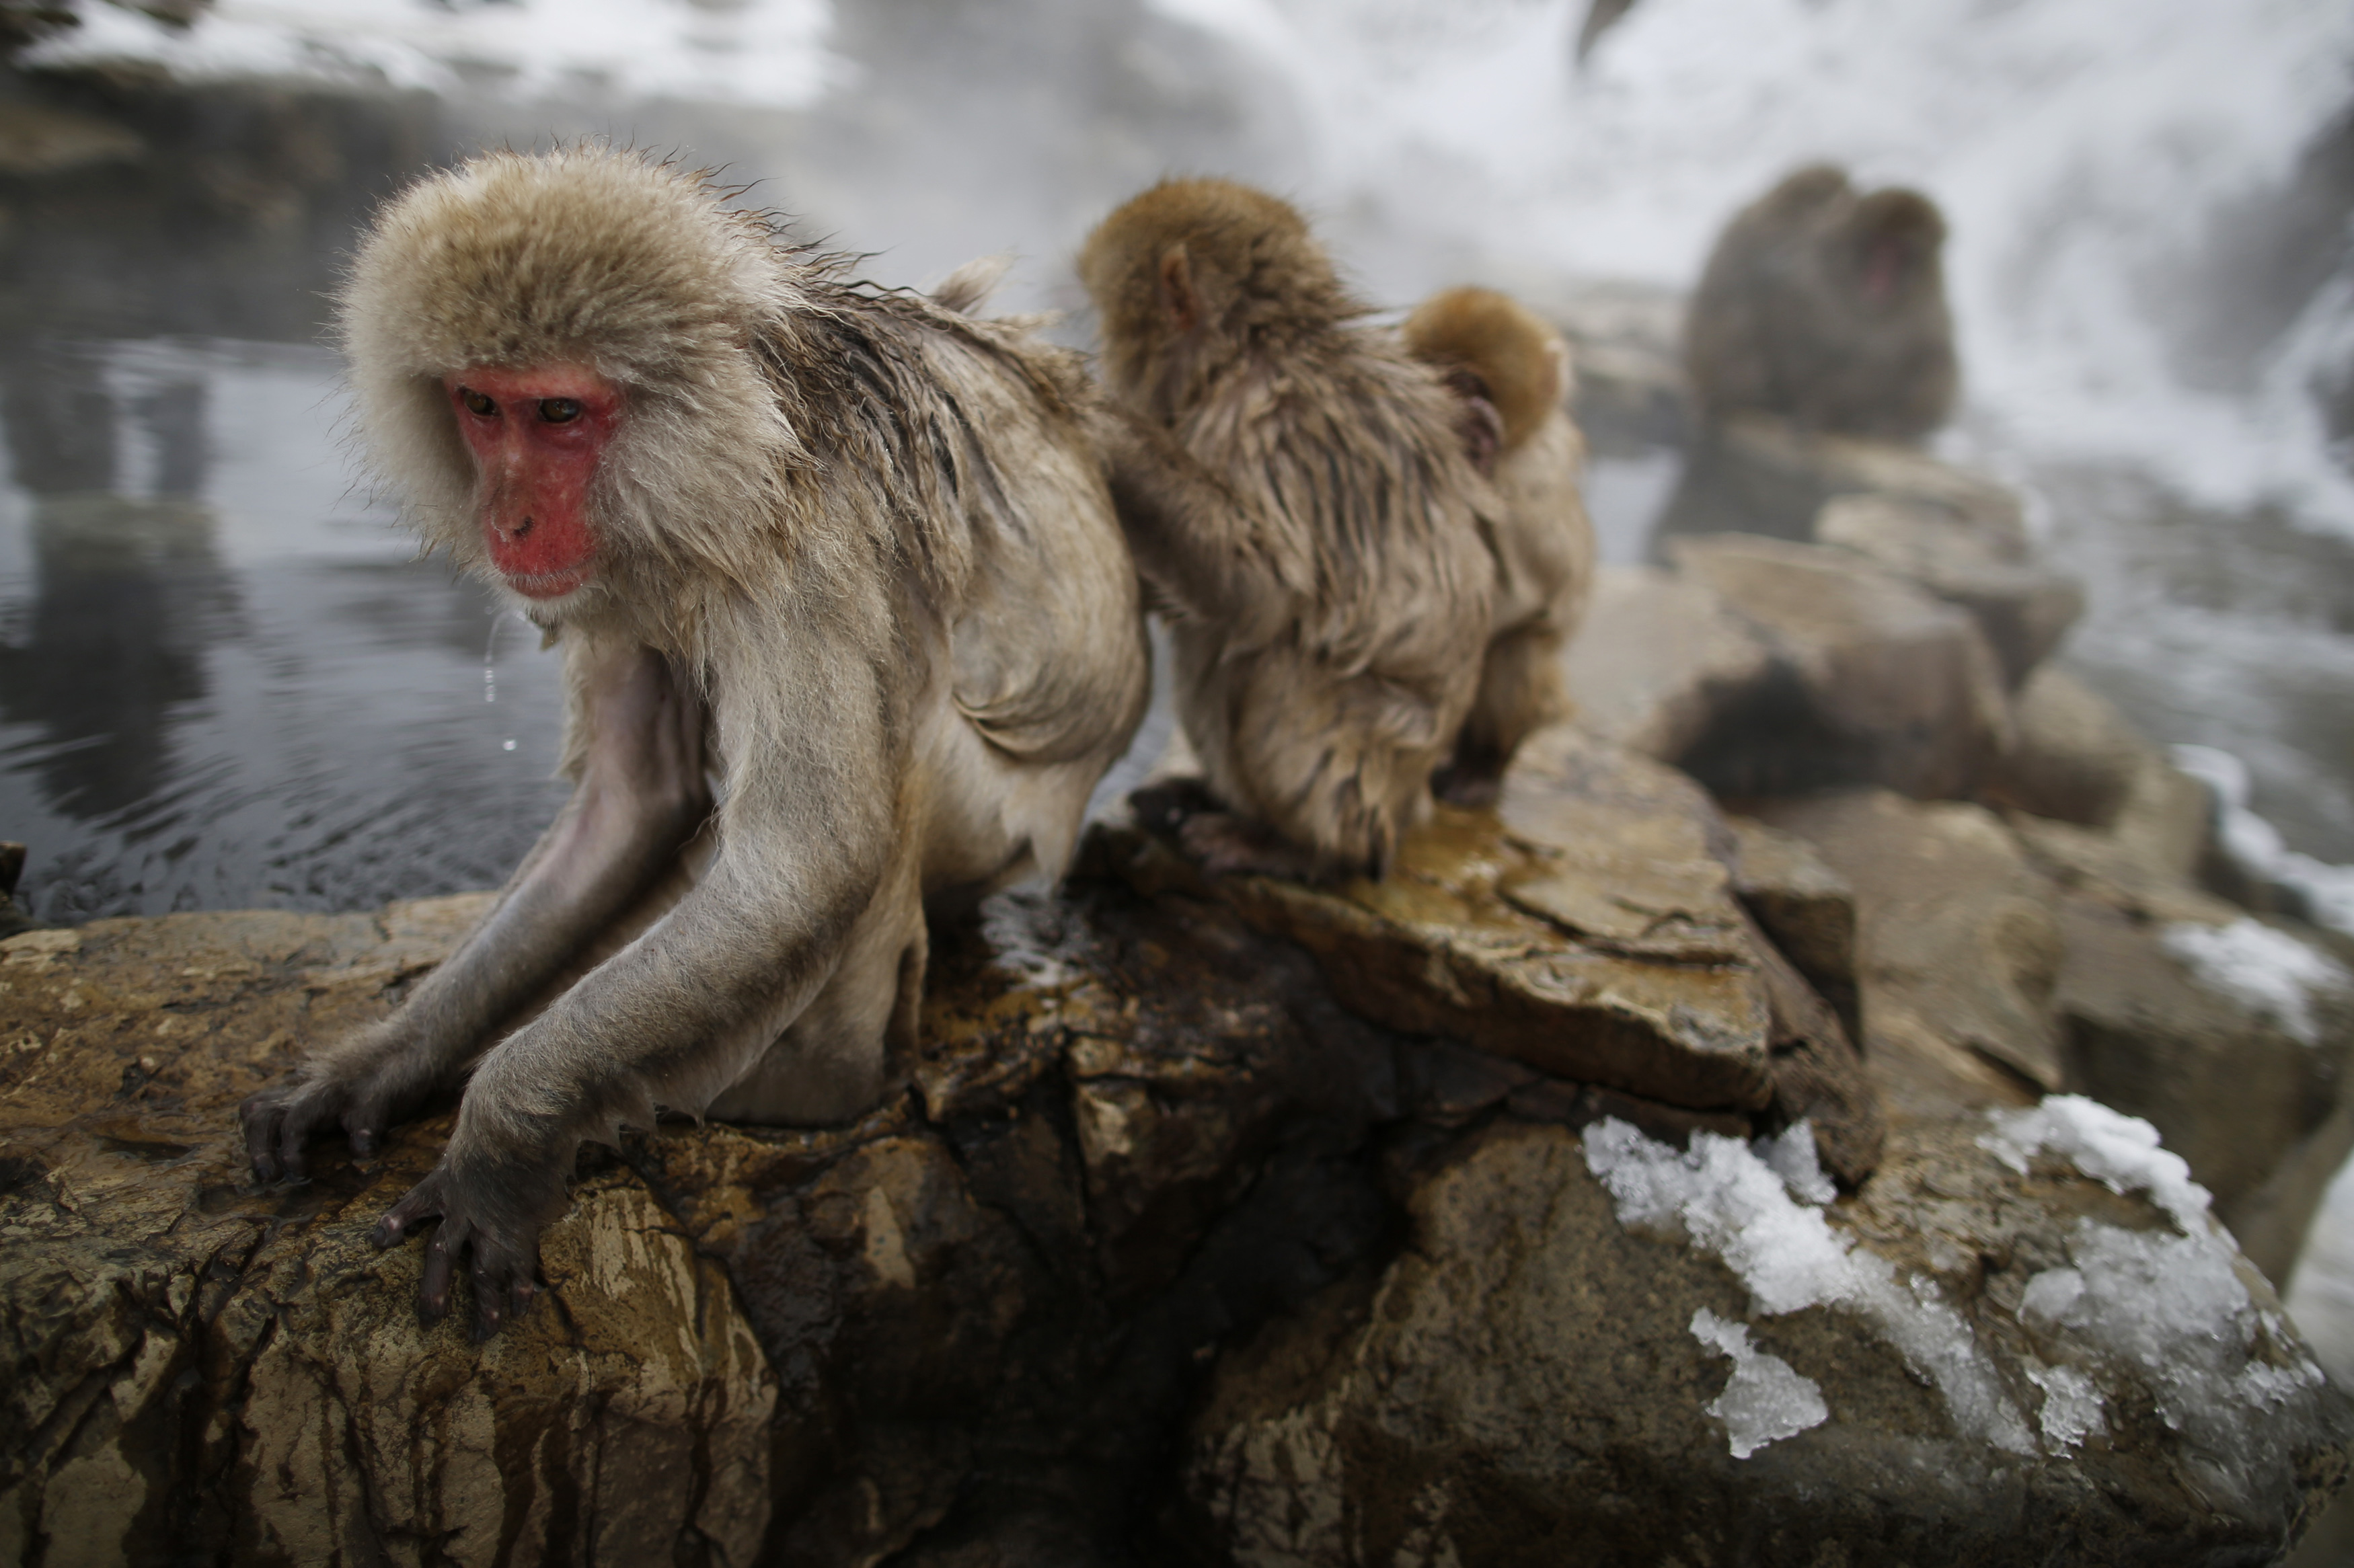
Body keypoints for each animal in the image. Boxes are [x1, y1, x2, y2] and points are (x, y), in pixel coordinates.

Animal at [238, 148, 1151, 1337]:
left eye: (561, 412)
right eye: (481, 407)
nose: (509, 521)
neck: (744, 431)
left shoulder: (812, 541)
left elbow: (802, 869)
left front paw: (502, 1142)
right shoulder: (615, 562)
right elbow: (630, 802)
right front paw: (382, 1061)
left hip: (1002, 821)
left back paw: (816, 1085)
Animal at [1077, 177, 1496, 882]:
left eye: (1110, 321)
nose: (1106, 352)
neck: (1260, 345)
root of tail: (1410, 807)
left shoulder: (1265, 425)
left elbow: (1264, 589)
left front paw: (1103, 419)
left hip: (1372, 766)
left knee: (1271, 667)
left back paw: (1297, 847)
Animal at [1401, 286, 1597, 805]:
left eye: (1469, 386)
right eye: (1432, 374)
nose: (1442, 412)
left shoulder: (1531, 482)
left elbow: (1524, 596)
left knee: (1516, 654)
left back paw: (1482, 768)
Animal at [1682, 164, 1958, 443]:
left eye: (1901, 253)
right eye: (1876, 247)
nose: (1881, 277)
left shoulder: (1927, 306)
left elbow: (1933, 361)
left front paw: (1894, 424)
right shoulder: (1800, 280)